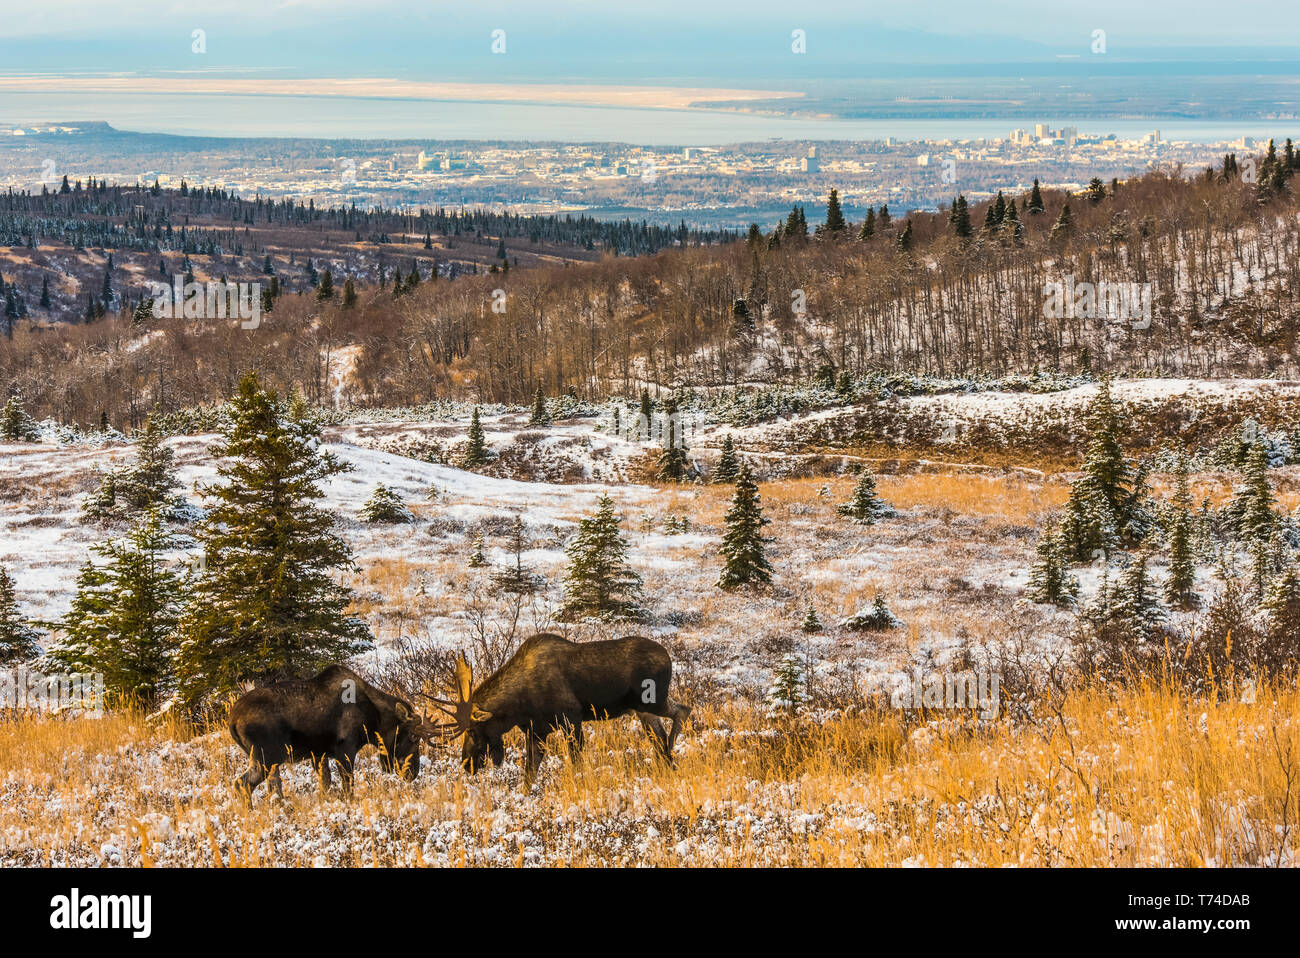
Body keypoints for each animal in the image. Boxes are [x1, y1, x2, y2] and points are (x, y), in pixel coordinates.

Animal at [228, 664, 426, 804]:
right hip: (266, 757)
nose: (413, 772)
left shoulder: (318, 754)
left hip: (270, 761)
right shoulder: (345, 749)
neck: (374, 718)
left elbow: (325, 784)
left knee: (274, 789)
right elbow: (347, 785)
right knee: (242, 784)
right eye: (413, 737)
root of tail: (232, 721)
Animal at [419, 633, 691, 782]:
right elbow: (529, 773)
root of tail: (668, 657)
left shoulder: (572, 719)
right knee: (659, 736)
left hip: (652, 700)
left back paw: (672, 751)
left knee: (683, 711)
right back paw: (668, 764)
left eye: (474, 732)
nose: (466, 764)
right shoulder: (536, 730)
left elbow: (576, 762)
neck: (517, 706)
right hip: (643, 710)